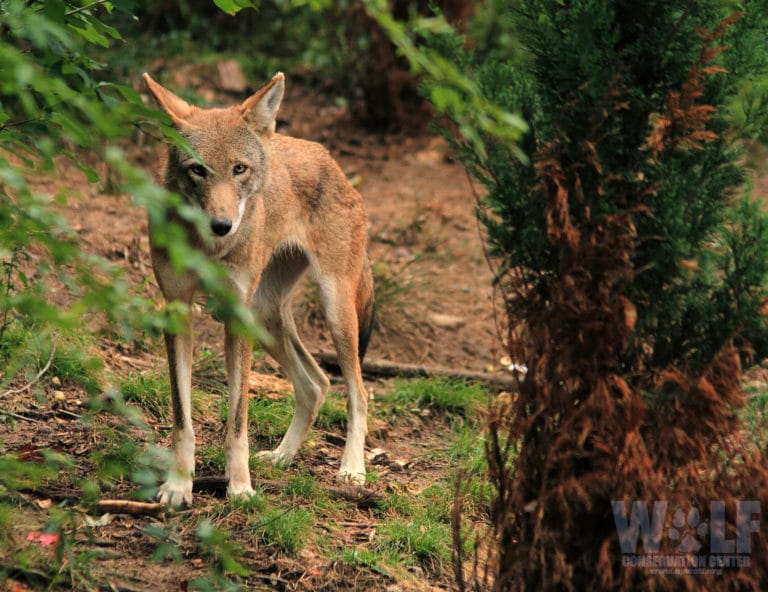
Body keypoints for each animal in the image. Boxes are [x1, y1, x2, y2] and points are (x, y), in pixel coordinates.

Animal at [142, 72, 375, 506]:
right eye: (198, 170)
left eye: (239, 169)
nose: (222, 225)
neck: (209, 248)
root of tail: (330, 160)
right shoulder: (179, 309)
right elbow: (182, 420)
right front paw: (179, 486)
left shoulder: (234, 316)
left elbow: (238, 422)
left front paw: (240, 489)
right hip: (265, 316)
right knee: (316, 384)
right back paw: (283, 456)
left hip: (334, 313)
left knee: (357, 392)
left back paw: (352, 469)